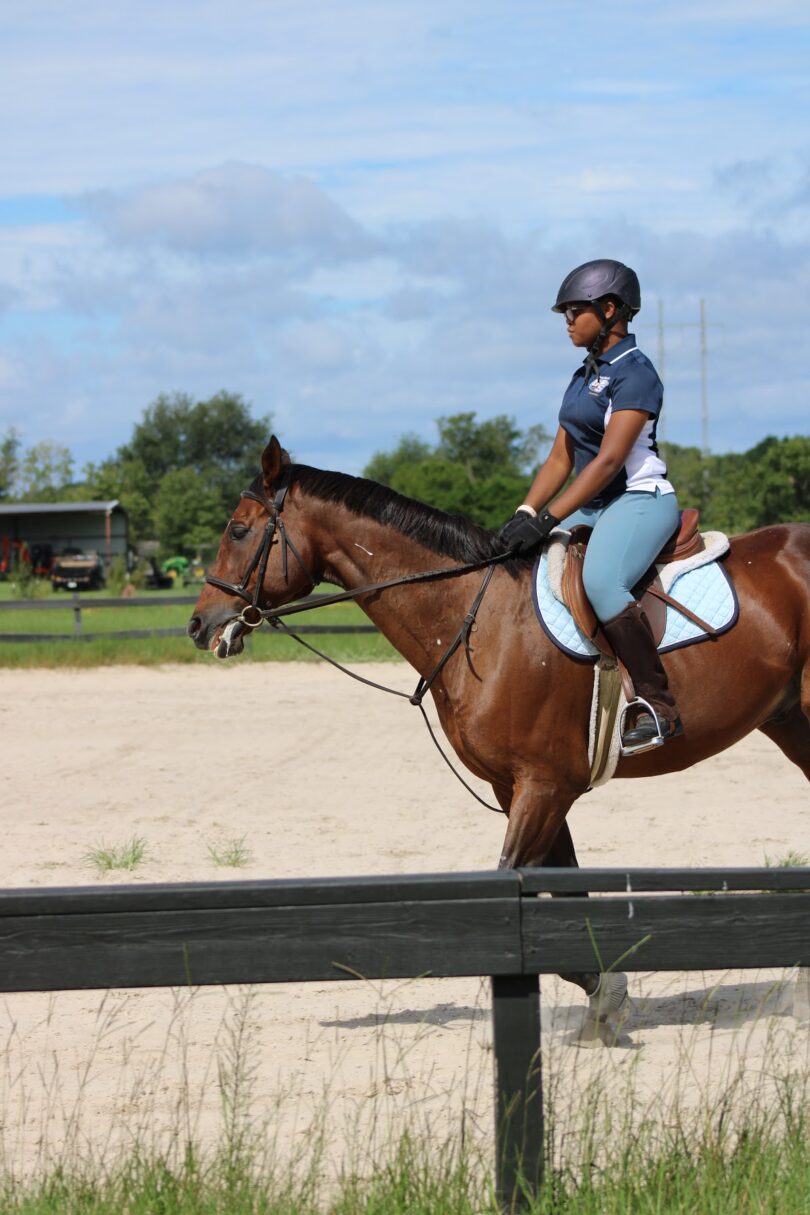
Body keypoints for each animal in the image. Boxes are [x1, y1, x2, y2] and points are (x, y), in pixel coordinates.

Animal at [188, 436, 810, 1021]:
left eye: (238, 530)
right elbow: (558, 885)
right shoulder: (521, 787)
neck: (477, 617)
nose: (200, 625)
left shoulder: (545, 785)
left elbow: (512, 881)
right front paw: (603, 994)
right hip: (791, 724)